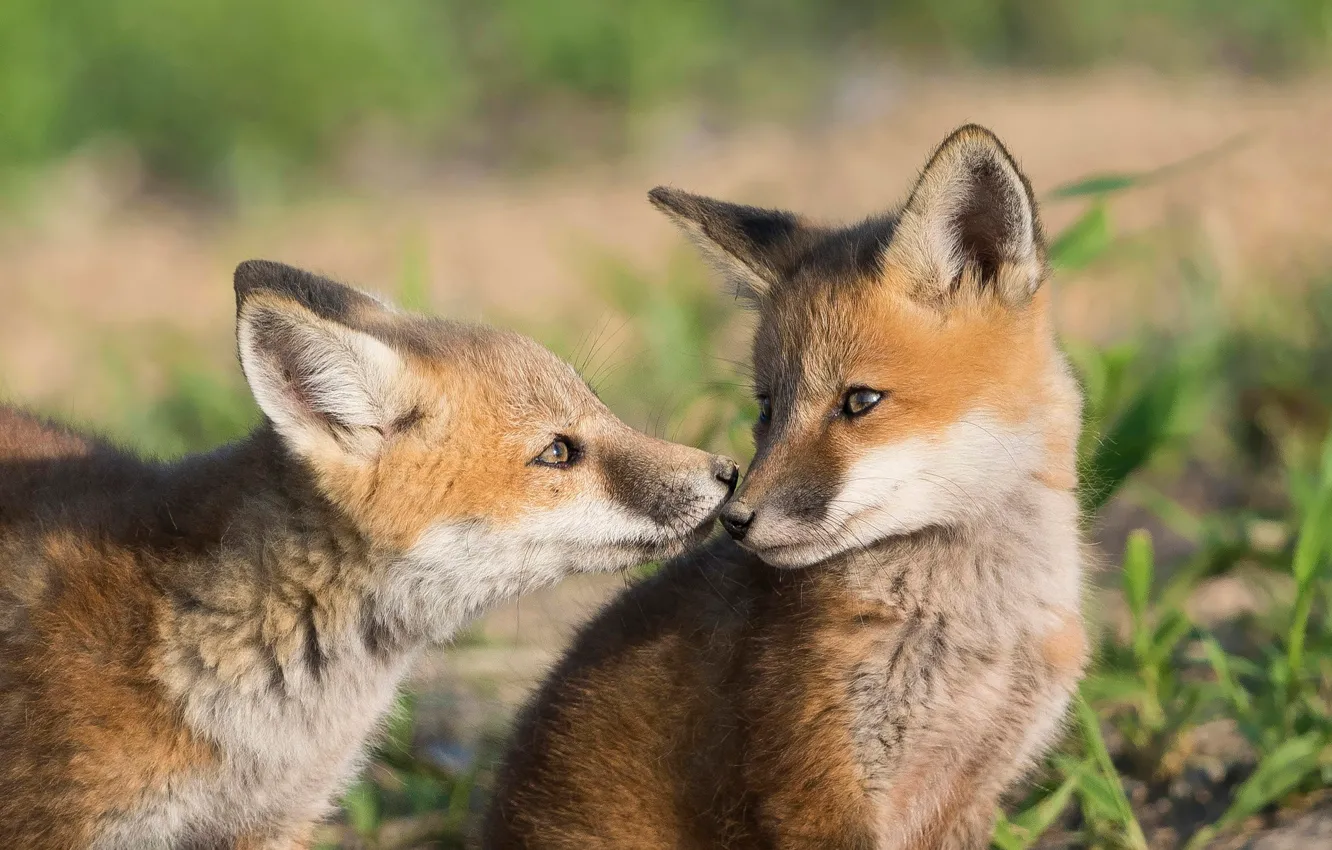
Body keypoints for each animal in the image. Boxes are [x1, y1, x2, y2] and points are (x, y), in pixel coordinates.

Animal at [484, 125, 1087, 849]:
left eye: (860, 401)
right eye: (768, 407)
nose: (734, 519)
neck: (976, 632)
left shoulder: (971, 793)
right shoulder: (812, 787)